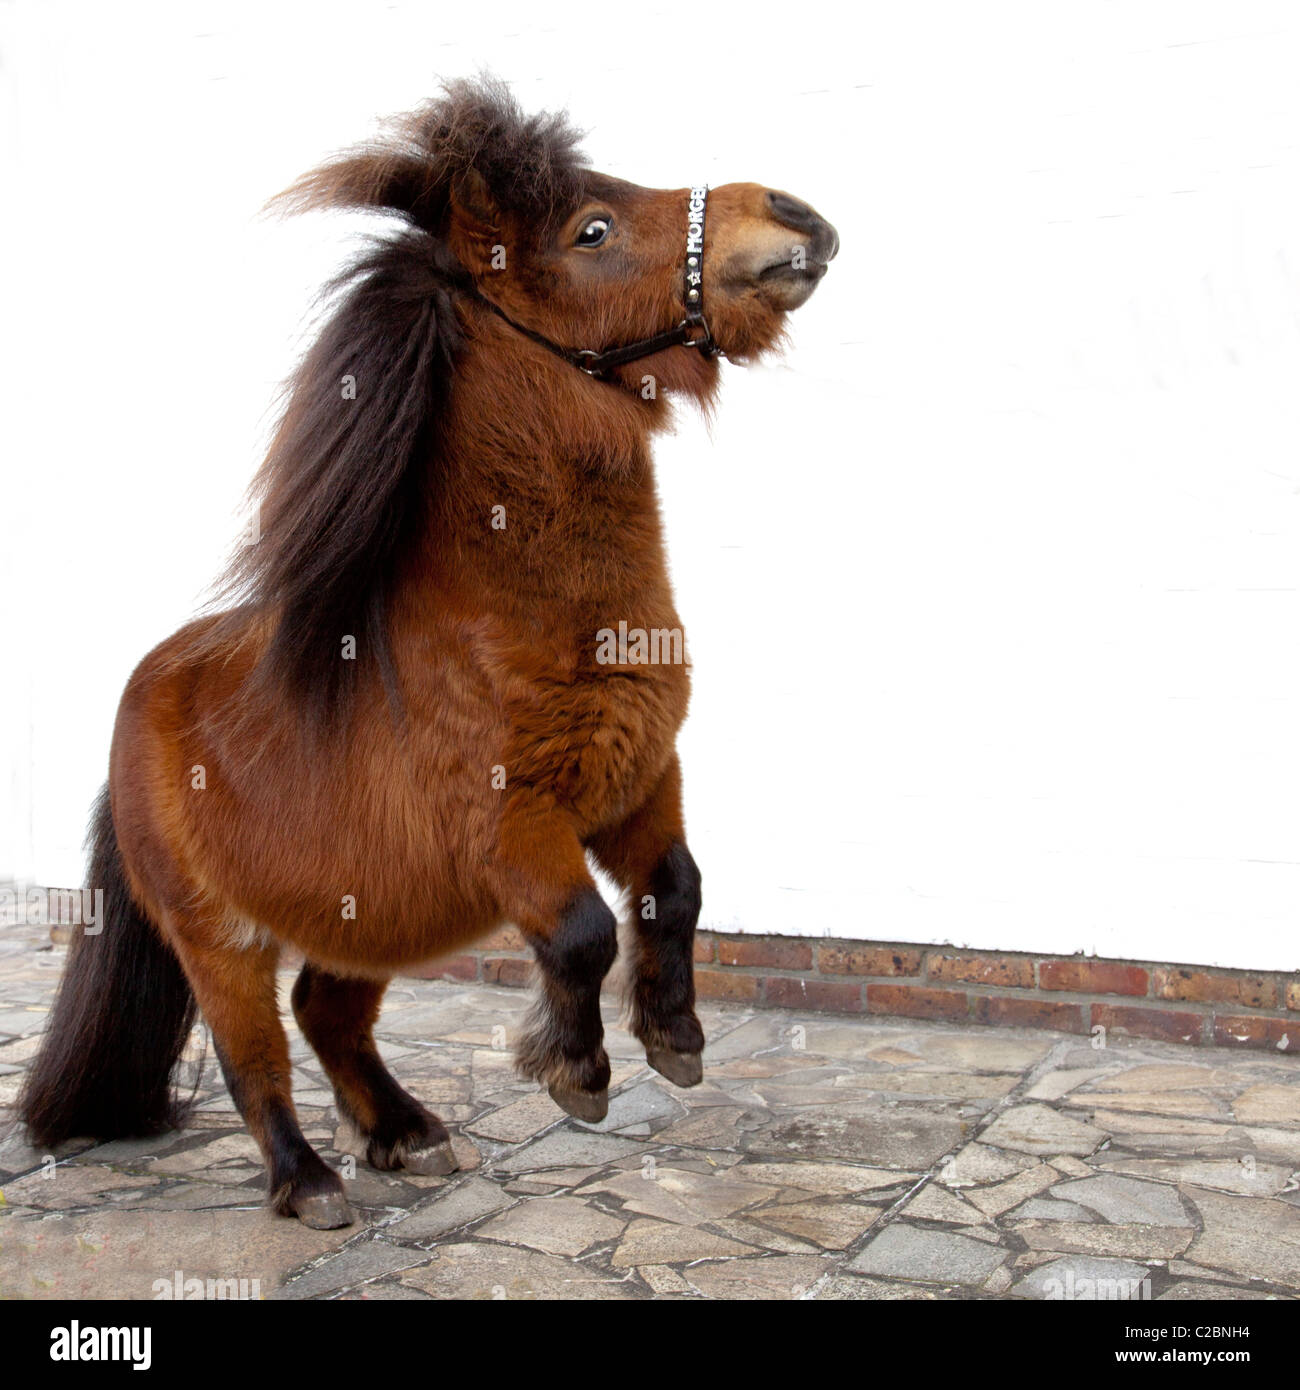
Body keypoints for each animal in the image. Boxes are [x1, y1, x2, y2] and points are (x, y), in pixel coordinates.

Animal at [18, 78, 838, 1229]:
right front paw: (575, 1073)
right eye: (590, 231)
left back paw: (406, 1134)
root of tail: (140, 694)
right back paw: (310, 1181)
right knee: (253, 1054)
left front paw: (674, 1041)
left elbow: (676, 889)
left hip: (369, 912)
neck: (519, 618)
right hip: (217, 936)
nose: (795, 216)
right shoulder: (514, 824)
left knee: (327, 1008)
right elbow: (582, 931)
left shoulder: (641, 781)